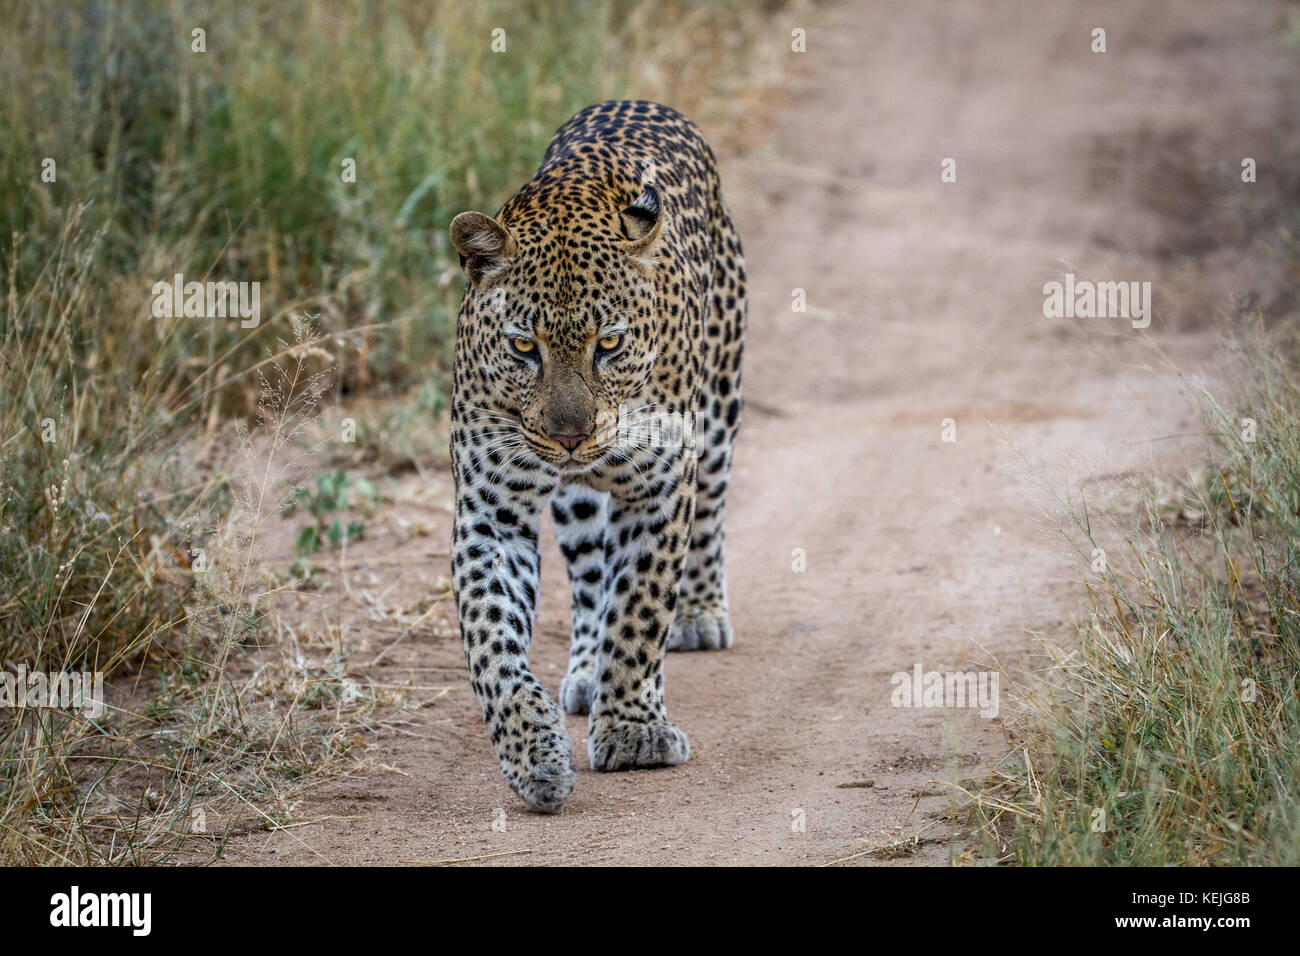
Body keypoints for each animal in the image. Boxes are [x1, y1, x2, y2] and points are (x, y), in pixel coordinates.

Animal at [447, 100, 746, 812]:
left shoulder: (660, 489)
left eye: (609, 343)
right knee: (588, 584)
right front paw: (533, 755)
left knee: (709, 520)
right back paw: (585, 673)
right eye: (523, 347)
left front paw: (634, 731)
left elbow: (639, 610)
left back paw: (699, 615)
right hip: (579, 502)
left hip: (720, 410)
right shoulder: (491, 511)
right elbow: (492, 640)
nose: (570, 437)